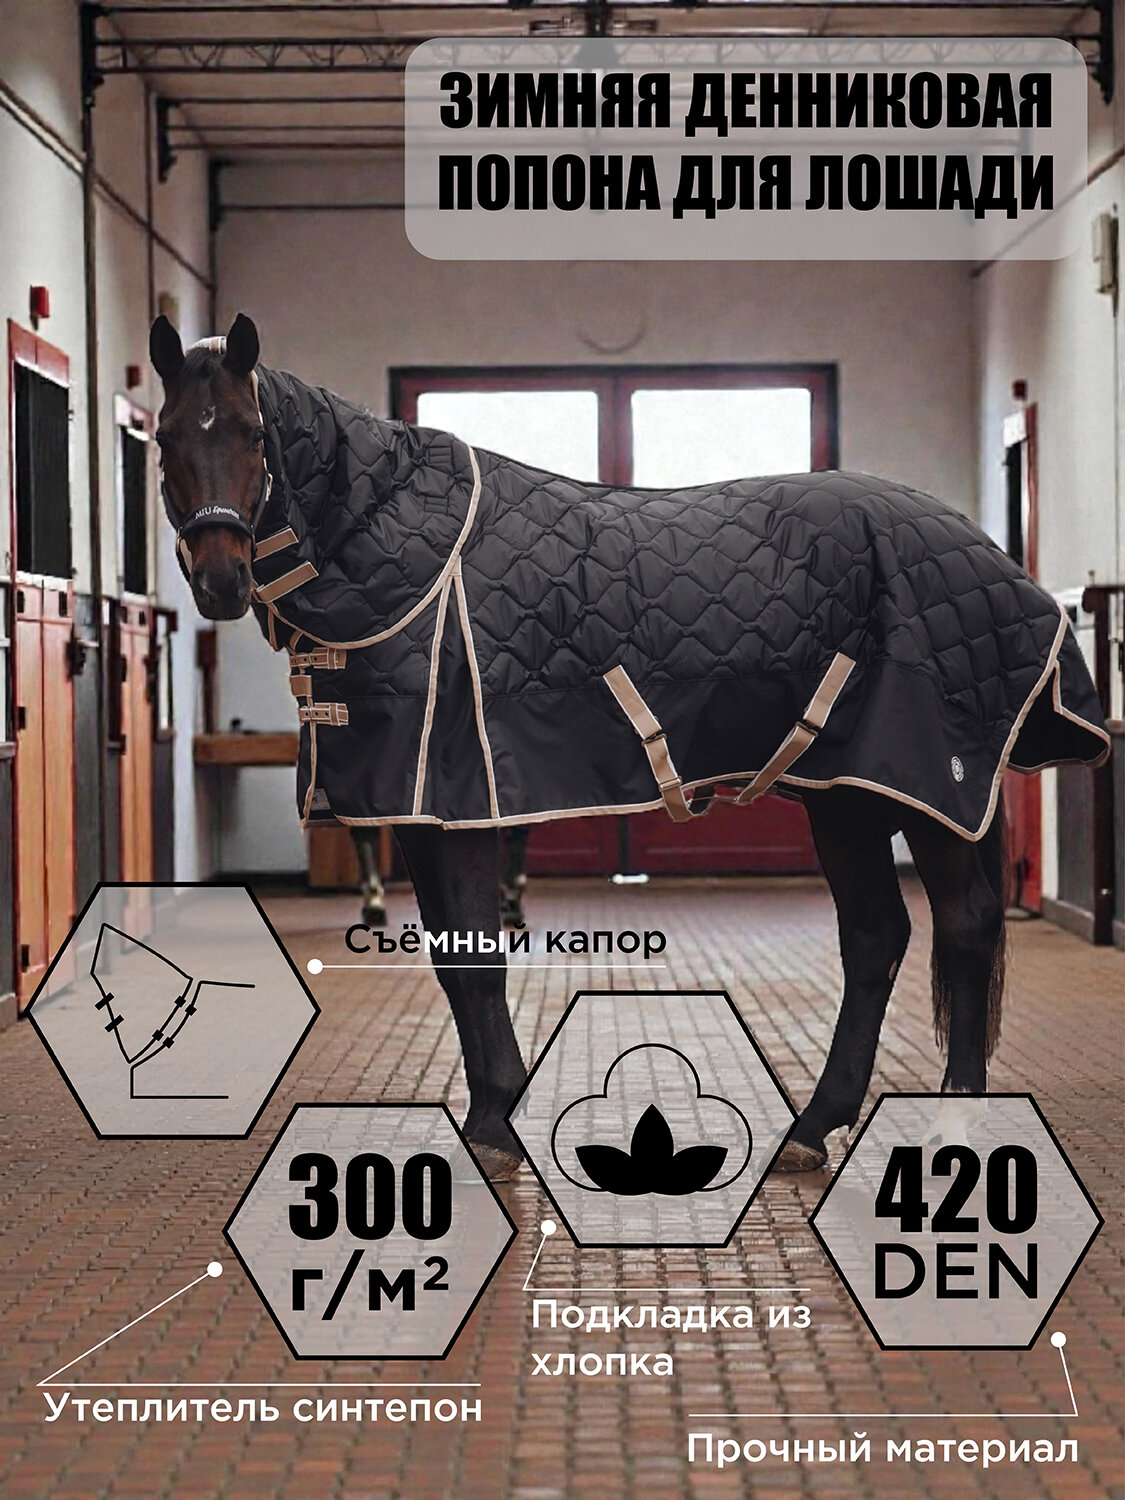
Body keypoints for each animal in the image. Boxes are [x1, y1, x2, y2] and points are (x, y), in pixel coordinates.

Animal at [150, 313, 1108, 1182]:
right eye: (165, 437)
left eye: (251, 432)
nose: (221, 580)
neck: (407, 561)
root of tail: (985, 553)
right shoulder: (423, 814)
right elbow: (456, 965)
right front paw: (493, 1113)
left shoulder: (458, 804)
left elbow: (478, 963)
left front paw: (495, 1122)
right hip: (846, 796)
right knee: (876, 936)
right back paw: (812, 1127)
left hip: (925, 792)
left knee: (964, 926)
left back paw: (950, 1122)